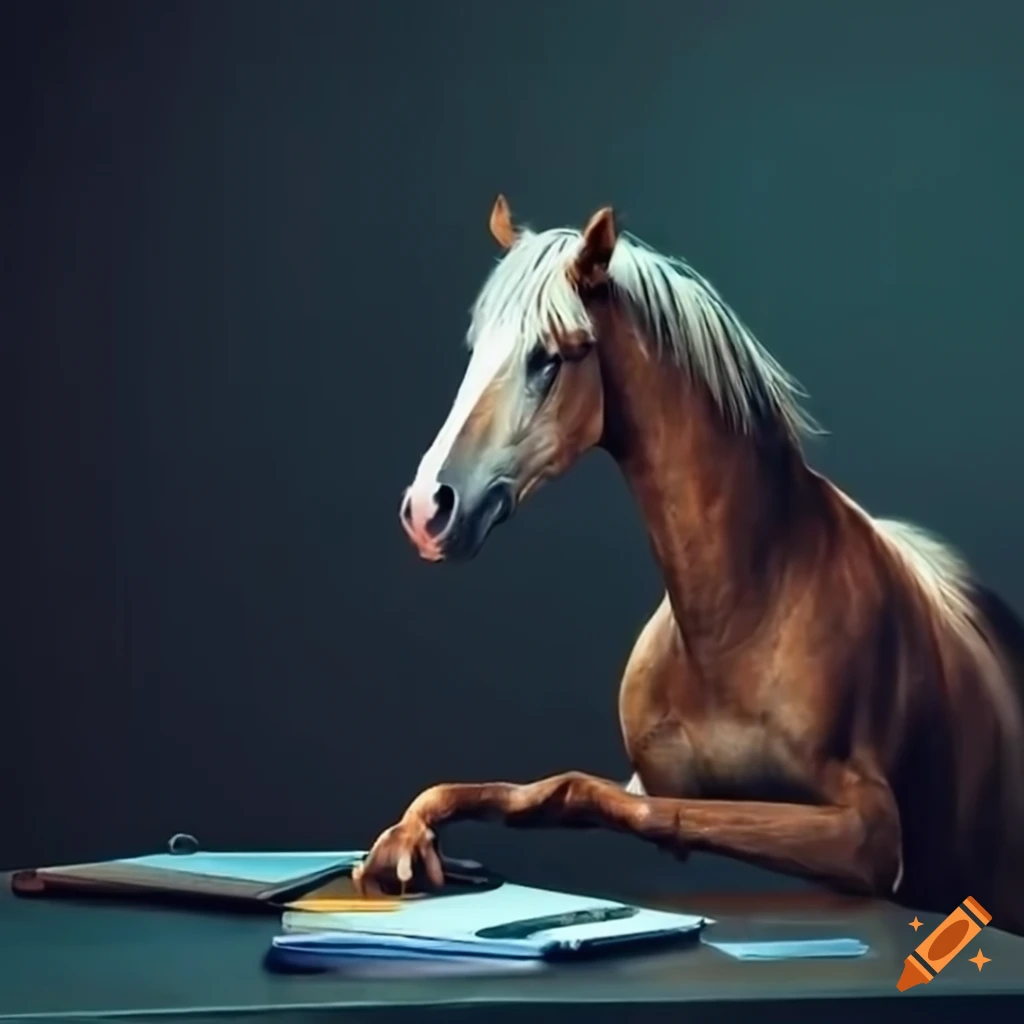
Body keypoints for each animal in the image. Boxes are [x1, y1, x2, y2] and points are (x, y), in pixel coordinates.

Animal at [353, 195, 1024, 935]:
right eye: (478, 352)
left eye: (550, 357)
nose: (428, 508)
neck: (746, 611)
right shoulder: (653, 778)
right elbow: (537, 791)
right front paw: (404, 843)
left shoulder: (867, 833)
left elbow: (606, 798)